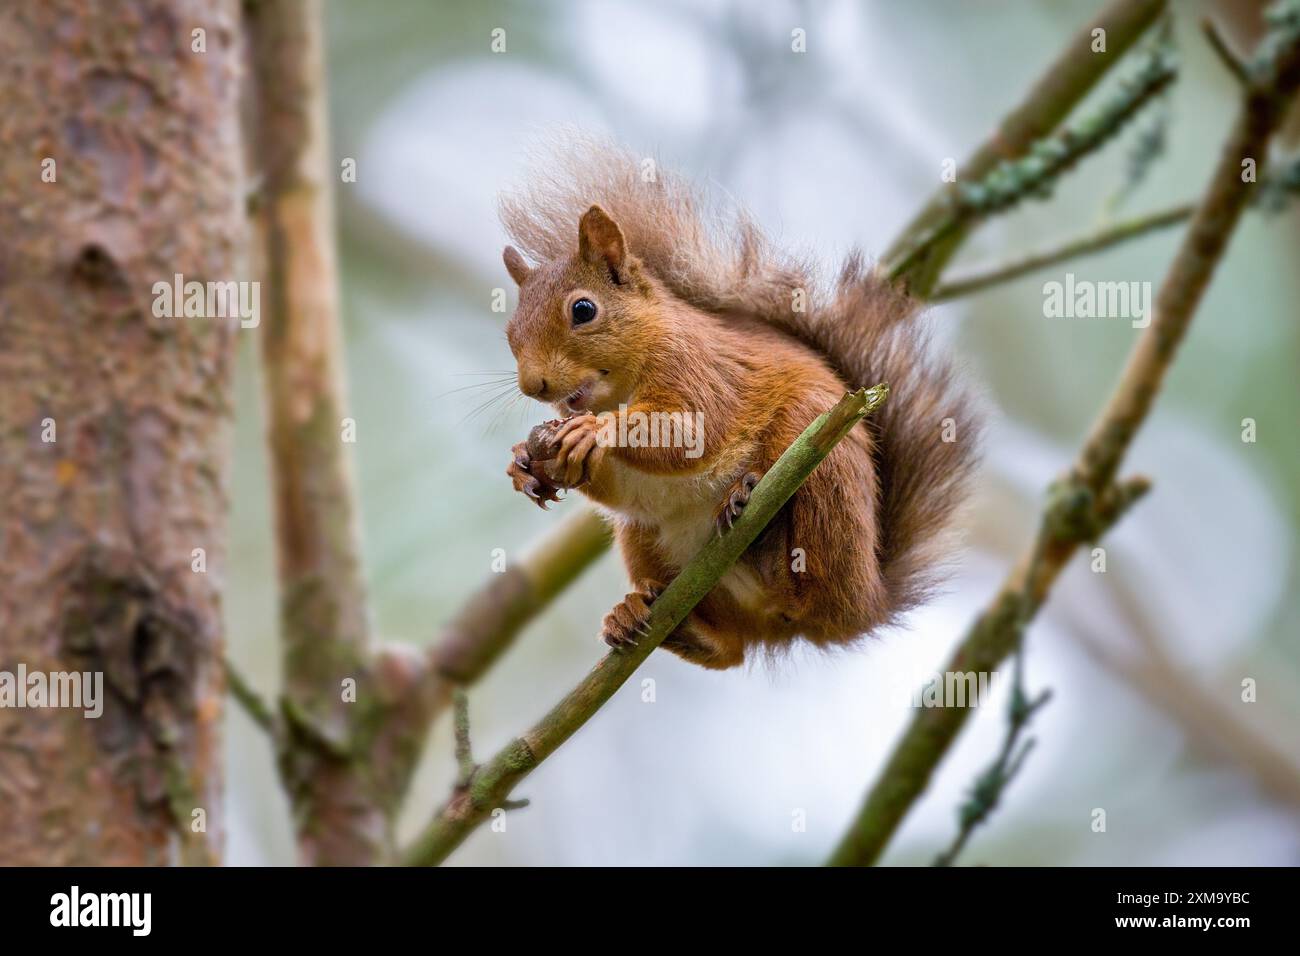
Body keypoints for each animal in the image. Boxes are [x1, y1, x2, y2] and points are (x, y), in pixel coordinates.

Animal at [499, 140, 981, 670]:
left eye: (583, 310)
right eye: (509, 333)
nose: (534, 386)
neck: (619, 389)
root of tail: (865, 603)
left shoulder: (698, 369)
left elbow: (690, 433)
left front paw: (592, 432)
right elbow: (621, 485)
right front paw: (525, 463)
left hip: (822, 464)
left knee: (805, 588)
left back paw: (760, 526)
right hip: (644, 542)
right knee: (730, 650)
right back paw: (662, 624)